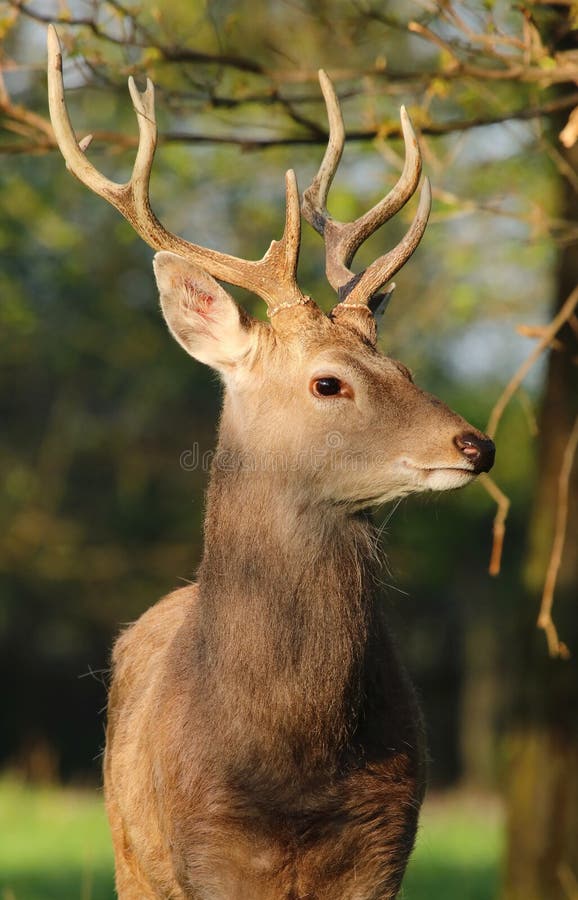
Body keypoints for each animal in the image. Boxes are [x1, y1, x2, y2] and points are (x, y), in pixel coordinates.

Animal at [47, 25, 495, 900]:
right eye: (328, 381)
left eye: (404, 366)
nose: (476, 444)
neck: (291, 767)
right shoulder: (206, 851)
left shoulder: (384, 848)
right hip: (130, 857)